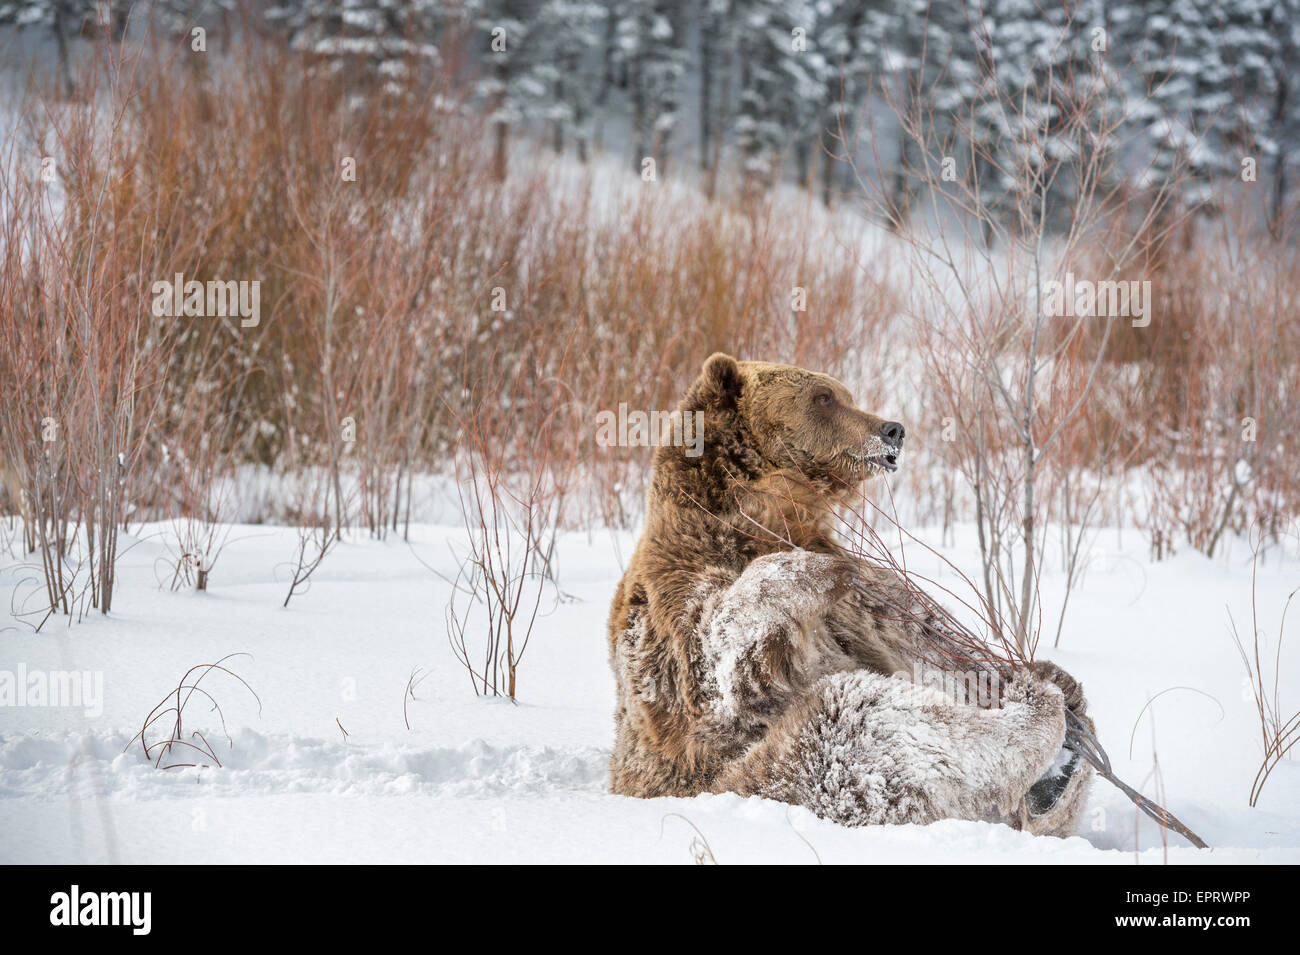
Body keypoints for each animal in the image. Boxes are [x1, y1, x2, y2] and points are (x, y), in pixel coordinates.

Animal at [607, 353, 1093, 836]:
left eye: (846, 394)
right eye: (823, 397)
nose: (893, 429)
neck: (766, 520)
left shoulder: (869, 605)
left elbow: (927, 639)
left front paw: (1012, 669)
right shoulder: (678, 596)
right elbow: (716, 663)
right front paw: (821, 571)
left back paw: (1057, 733)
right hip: (763, 771)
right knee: (862, 721)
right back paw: (1038, 710)